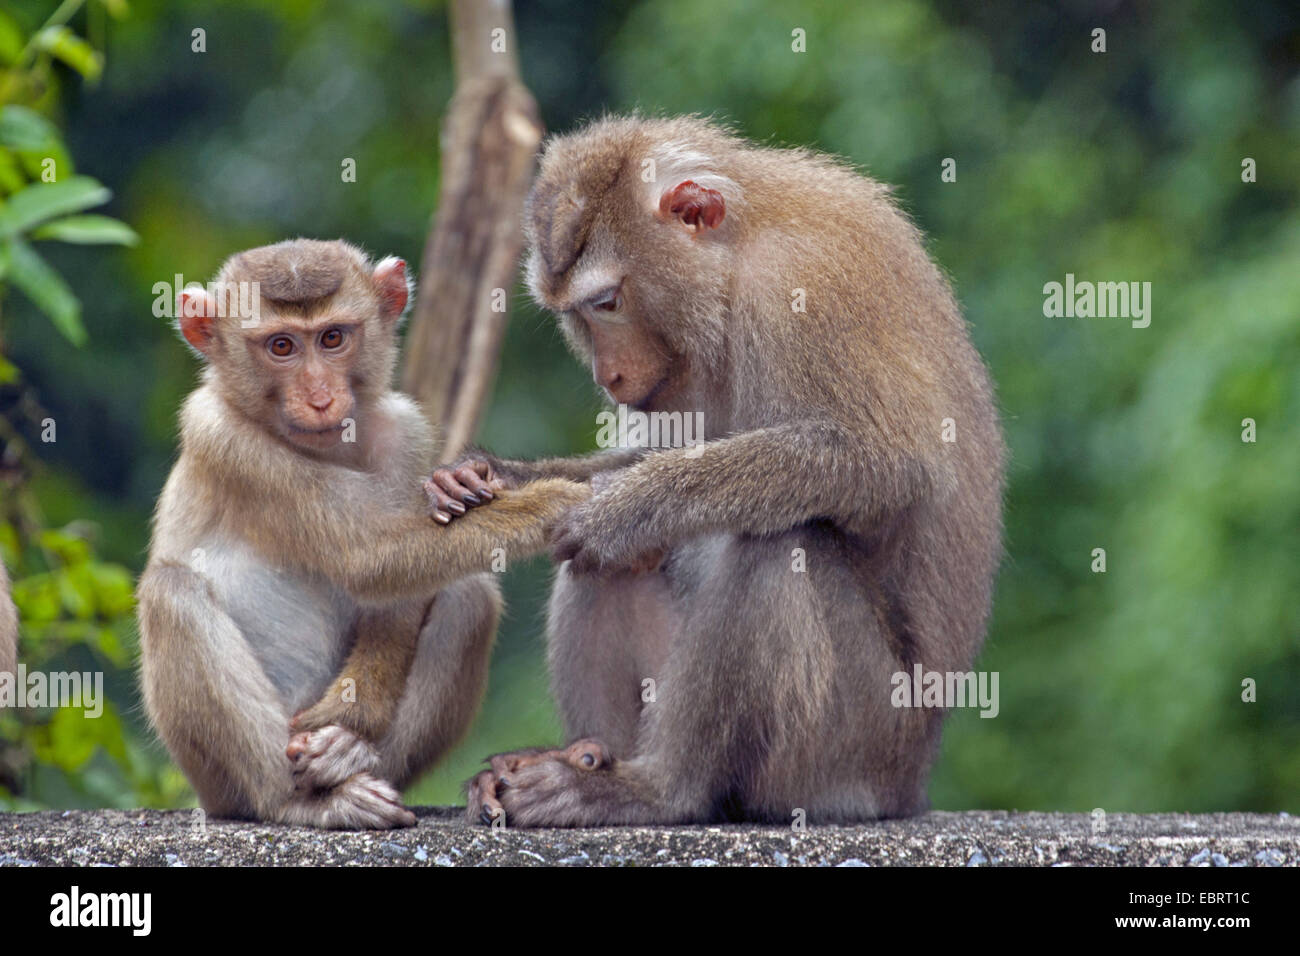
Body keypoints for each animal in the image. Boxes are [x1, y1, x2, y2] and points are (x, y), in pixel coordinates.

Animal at [136, 238, 590, 829]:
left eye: (333, 338)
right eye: (281, 345)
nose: (321, 398)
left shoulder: (403, 432)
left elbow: (399, 591)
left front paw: (351, 722)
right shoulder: (226, 439)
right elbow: (367, 559)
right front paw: (556, 500)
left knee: (469, 595)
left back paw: (354, 756)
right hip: (216, 780)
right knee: (171, 592)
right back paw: (301, 802)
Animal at [456, 116, 1005, 827]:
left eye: (606, 302)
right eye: (575, 314)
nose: (609, 377)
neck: (740, 252)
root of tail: (910, 787)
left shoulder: (801, 284)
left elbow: (885, 462)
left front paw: (626, 508)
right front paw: (495, 478)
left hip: (849, 752)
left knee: (778, 545)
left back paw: (656, 790)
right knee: (613, 568)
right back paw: (592, 759)